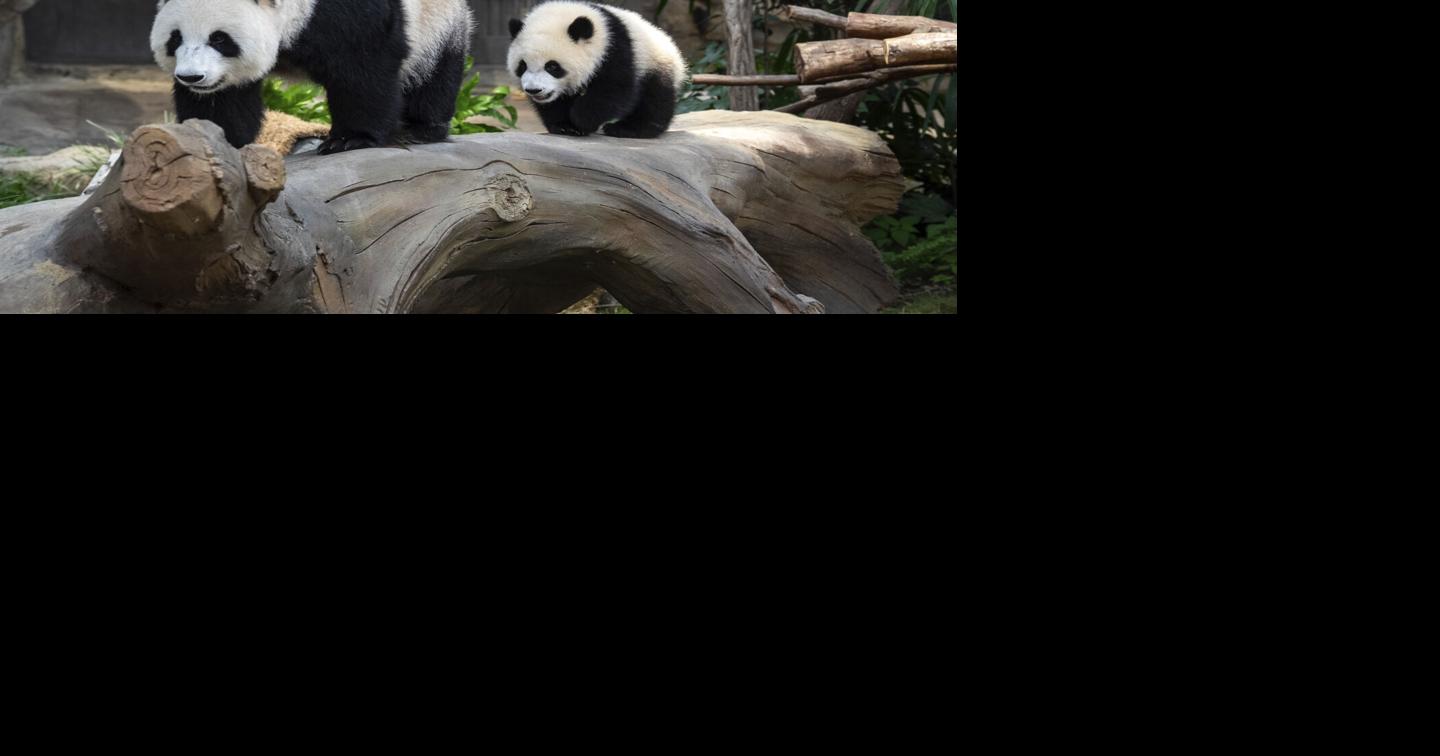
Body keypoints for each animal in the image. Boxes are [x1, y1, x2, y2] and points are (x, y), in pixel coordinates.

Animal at [150, 0, 474, 154]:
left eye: (219, 38)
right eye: (175, 38)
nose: (192, 77)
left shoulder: (348, 16)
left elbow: (363, 69)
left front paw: (349, 139)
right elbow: (225, 99)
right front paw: (215, 140)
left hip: (437, 24)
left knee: (432, 75)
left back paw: (421, 129)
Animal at [507, 1, 688, 139]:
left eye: (552, 66)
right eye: (522, 66)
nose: (534, 90)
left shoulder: (615, 50)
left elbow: (613, 90)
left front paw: (582, 120)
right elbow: (554, 104)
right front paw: (565, 126)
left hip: (653, 61)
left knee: (655, 99)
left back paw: (628, 129)